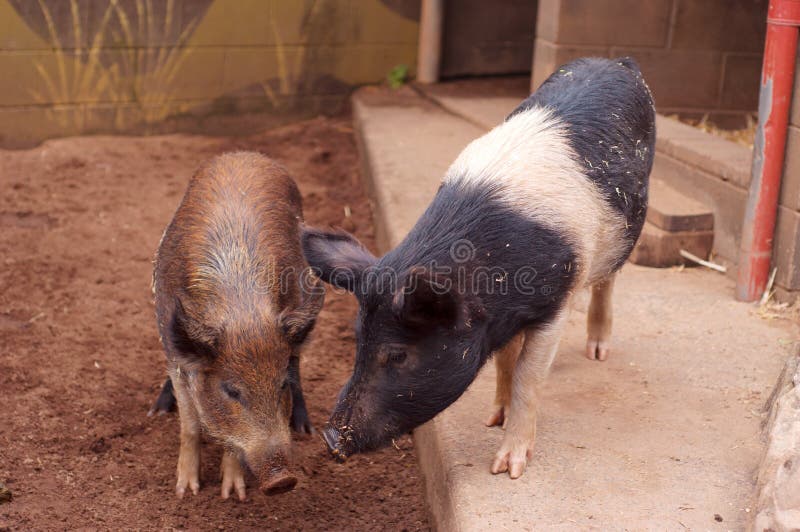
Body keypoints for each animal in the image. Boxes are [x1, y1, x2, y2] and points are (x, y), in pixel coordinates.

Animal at [150, 152, 324, 499]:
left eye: (280, 385)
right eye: (231, 390)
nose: (283, 480)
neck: (241, 311)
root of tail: (246, 155)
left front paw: (233, 494)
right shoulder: (175, 354)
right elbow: (190, 426)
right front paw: (185, 492)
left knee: (298, 357)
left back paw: (306, 429)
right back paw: (159, 410)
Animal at [302, 57, 655, 478]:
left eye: (398, 354)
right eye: (358, 342)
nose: (330, 438)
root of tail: (616, 61)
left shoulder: (555, 302)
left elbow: (528, 375)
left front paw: (507, 468)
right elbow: (505, 359)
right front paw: (494, 419)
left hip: (628, 221)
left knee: (609, 279)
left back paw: (597, 353)